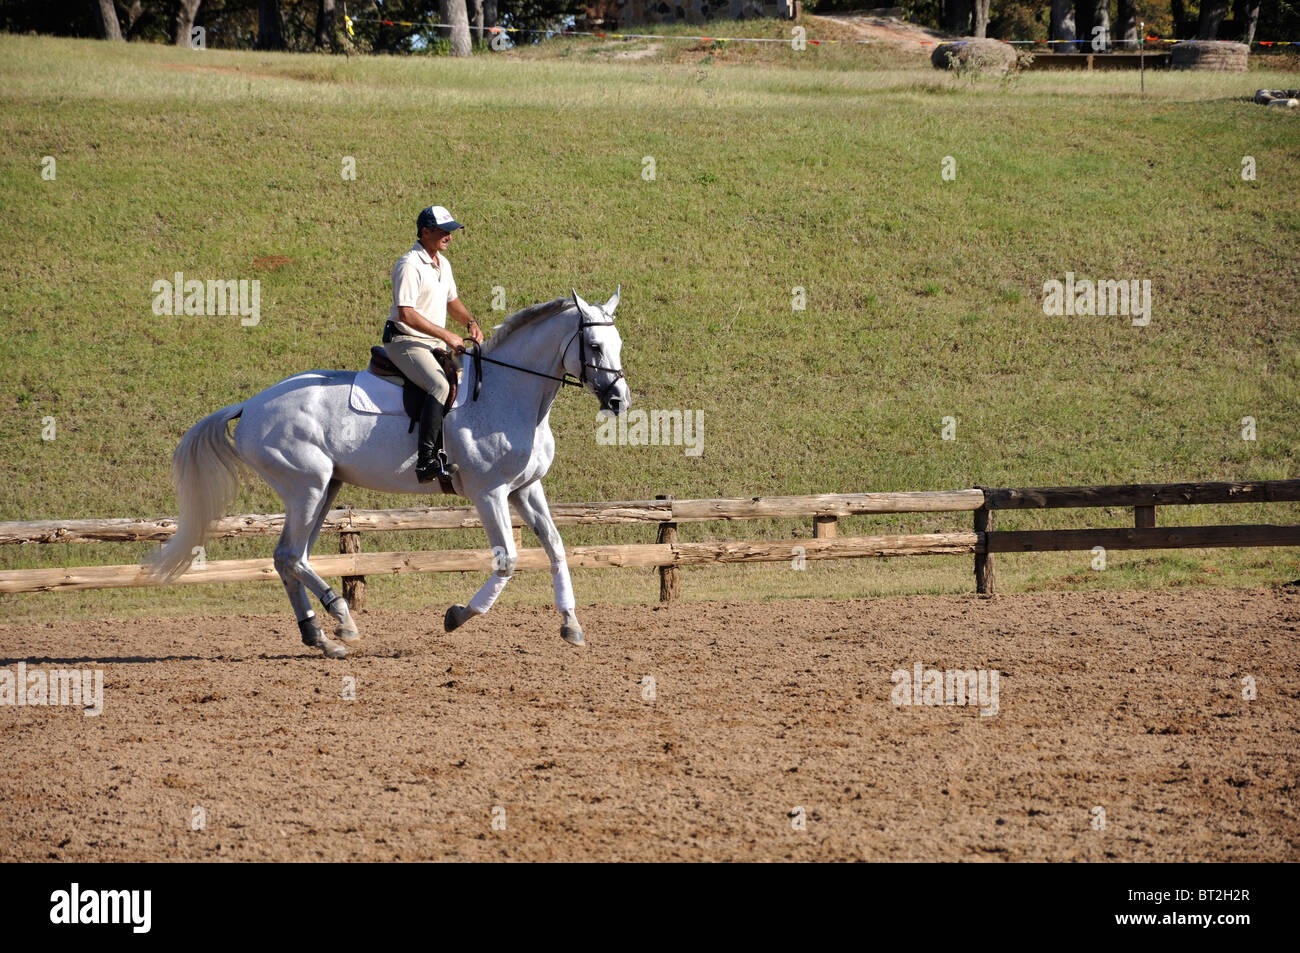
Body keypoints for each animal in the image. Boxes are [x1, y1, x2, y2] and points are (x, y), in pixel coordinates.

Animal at [144, 289, 630, 658]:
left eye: (619, 344)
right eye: (593, 346)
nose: (619, 400)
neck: (508, 393)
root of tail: (250, 406)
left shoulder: (526, 489)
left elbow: (556, 548)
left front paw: (571, 624)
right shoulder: (490, 493)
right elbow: (507, 560)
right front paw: (457, 616)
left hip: (326, 489)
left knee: (292, 558)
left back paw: (322, 637)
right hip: (307, 486)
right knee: (288, 556)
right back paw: (341, 619)